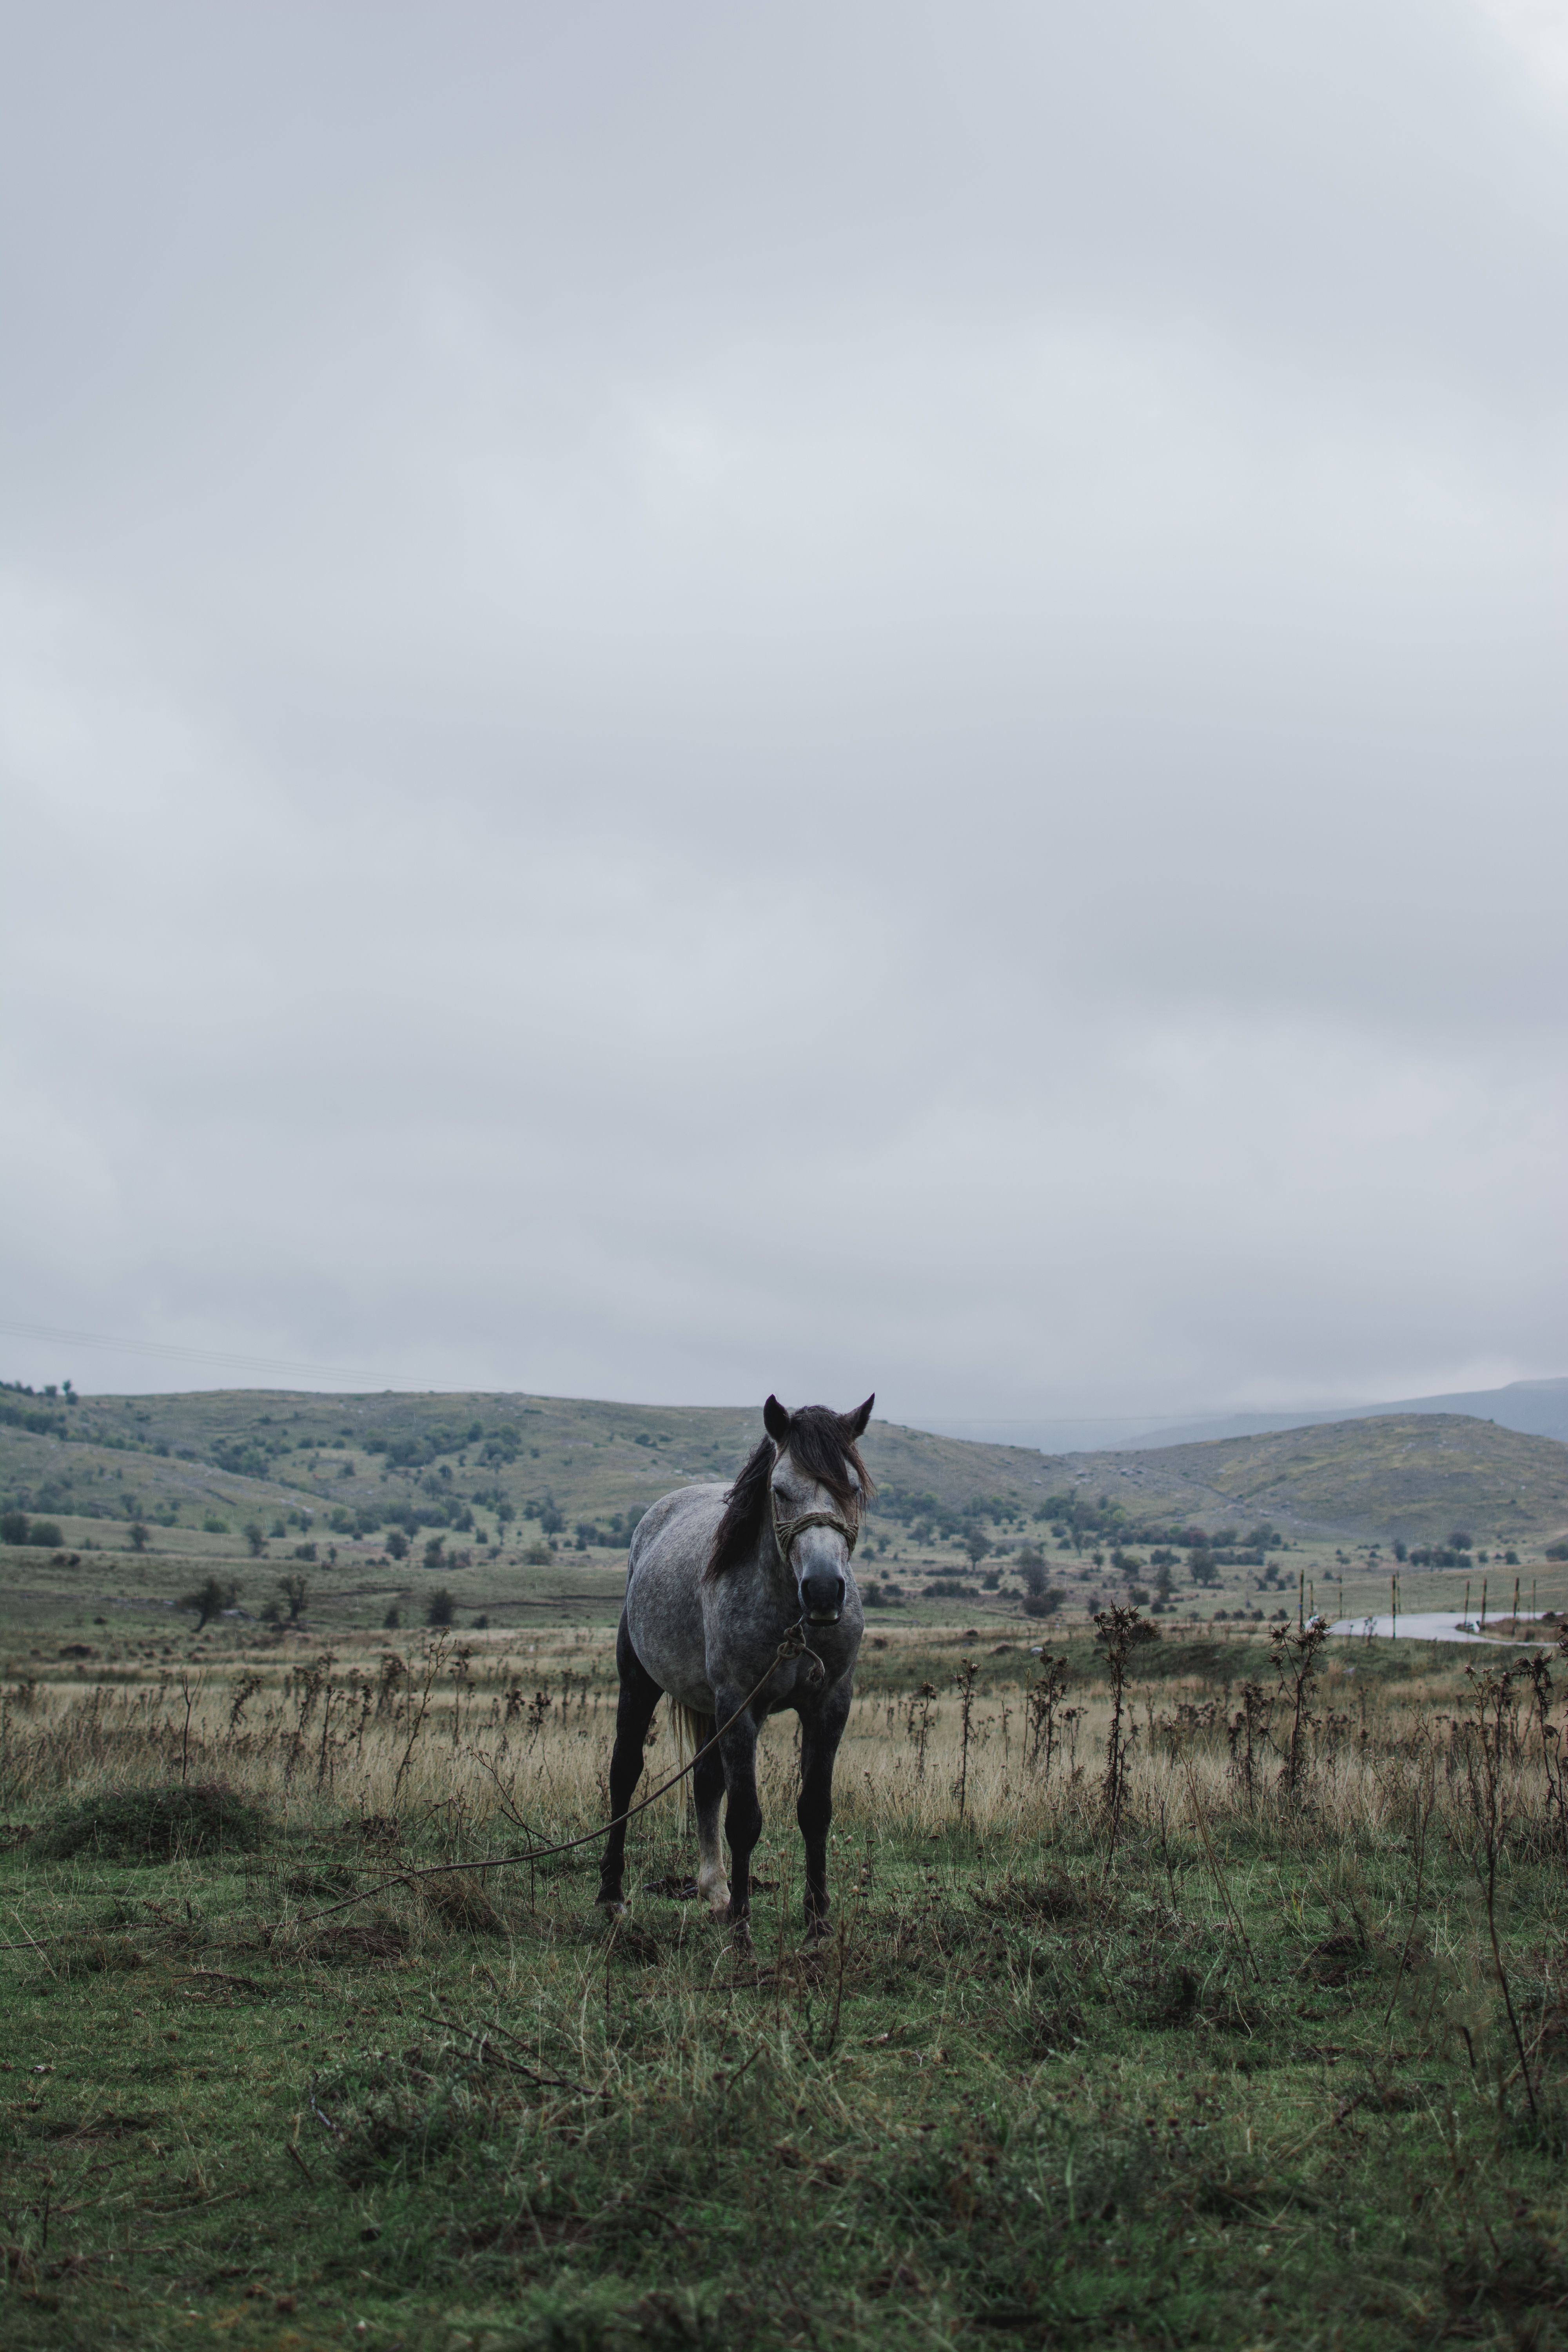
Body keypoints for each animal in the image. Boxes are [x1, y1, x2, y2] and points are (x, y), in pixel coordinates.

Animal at [596, 1391, 874, 1944]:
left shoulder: (829, 1704)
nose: (824, 1590)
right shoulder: (739, 1707)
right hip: (640, 1685)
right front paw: (743, 1932)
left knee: (706, 1782)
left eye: (852, 1489)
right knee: (625, 1775)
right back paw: (613, 1896)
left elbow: (815, 1810)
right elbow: (745, 1818)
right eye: (780, 1491)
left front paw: (817, 1923)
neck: (790, 1616)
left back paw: (716, 1891)